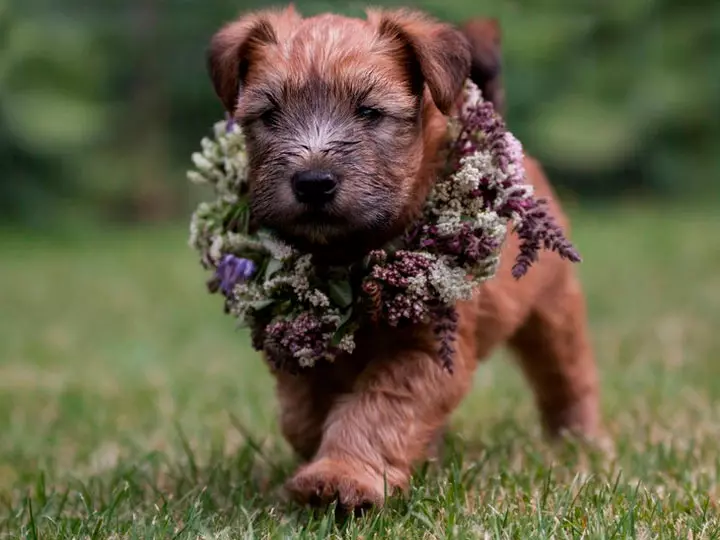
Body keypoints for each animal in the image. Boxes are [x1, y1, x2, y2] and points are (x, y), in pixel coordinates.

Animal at [205, 5, 600, 510]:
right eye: (269, 115)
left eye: (369, 111)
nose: (313, 182)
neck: (351, 259)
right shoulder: (294, 344)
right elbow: (304, 411)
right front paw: (322, 454)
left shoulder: (426, 349)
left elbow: (377, 410)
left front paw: (342, 476)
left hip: (553, 308)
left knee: (568, 375)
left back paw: (580, 443)